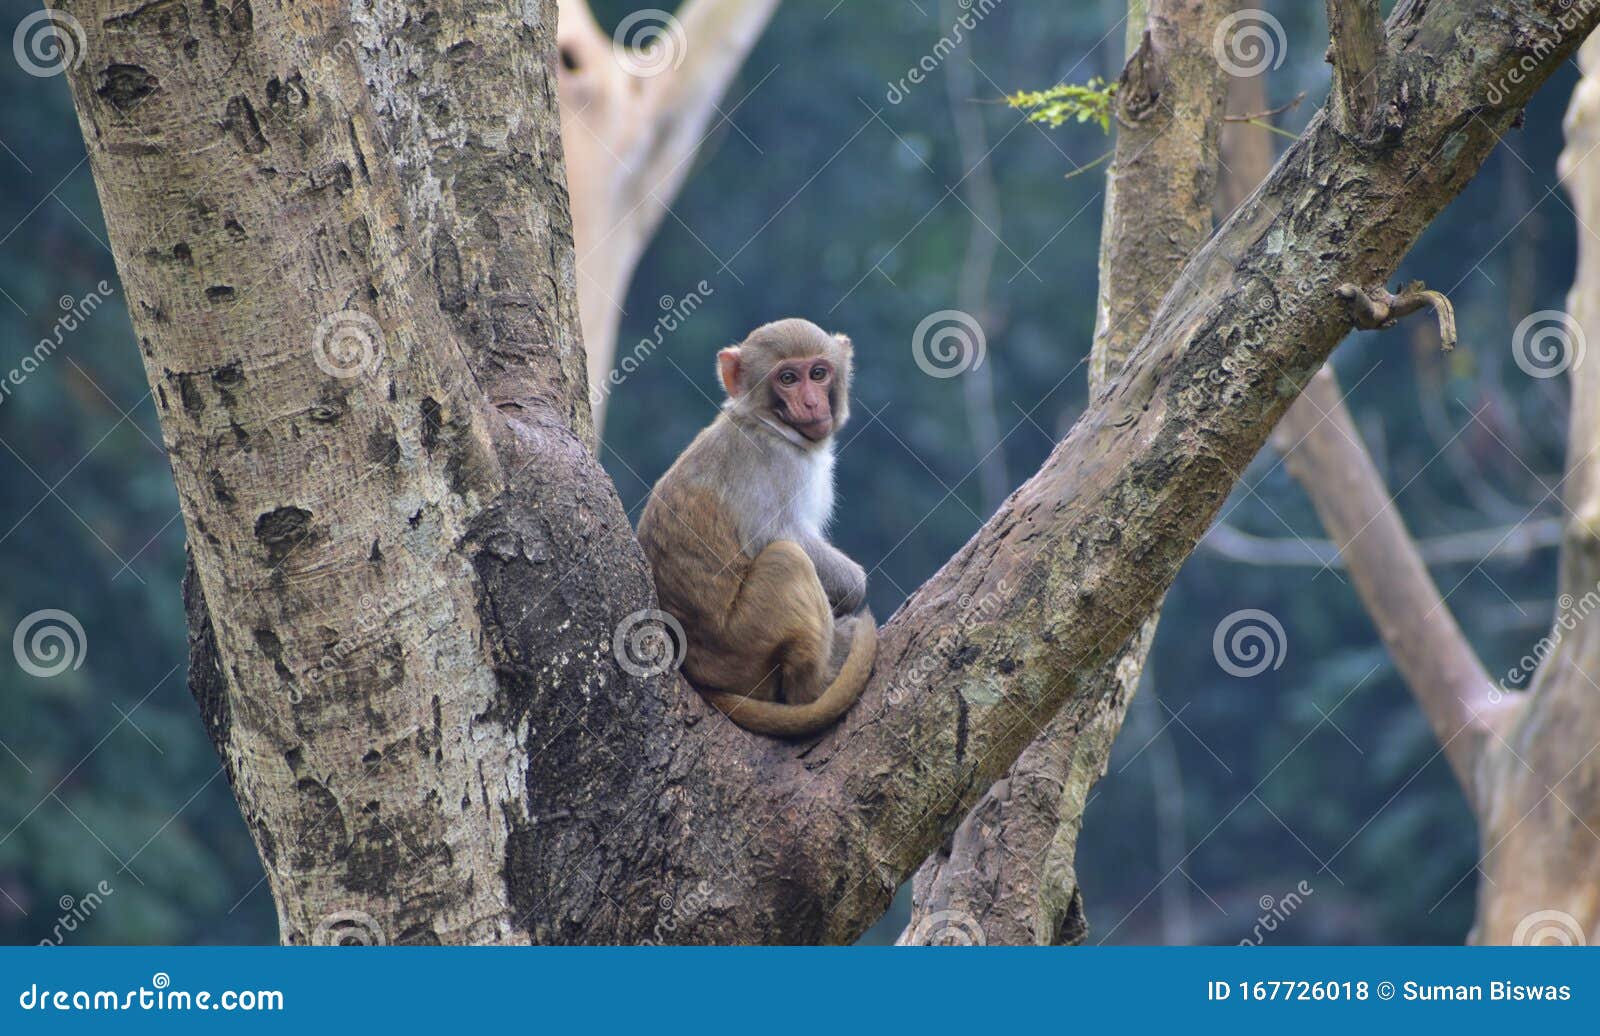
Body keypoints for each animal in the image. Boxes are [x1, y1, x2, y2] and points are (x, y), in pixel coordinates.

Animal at [636, 318, 877, 739]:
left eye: (818, 373)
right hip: (743, 646)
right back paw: (815, 684)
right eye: (787, 378)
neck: (770, 426)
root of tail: (700, 676)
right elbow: (775, 535)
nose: (811, 403)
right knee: (786, 559)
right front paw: (854, 587)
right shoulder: (775, 464)